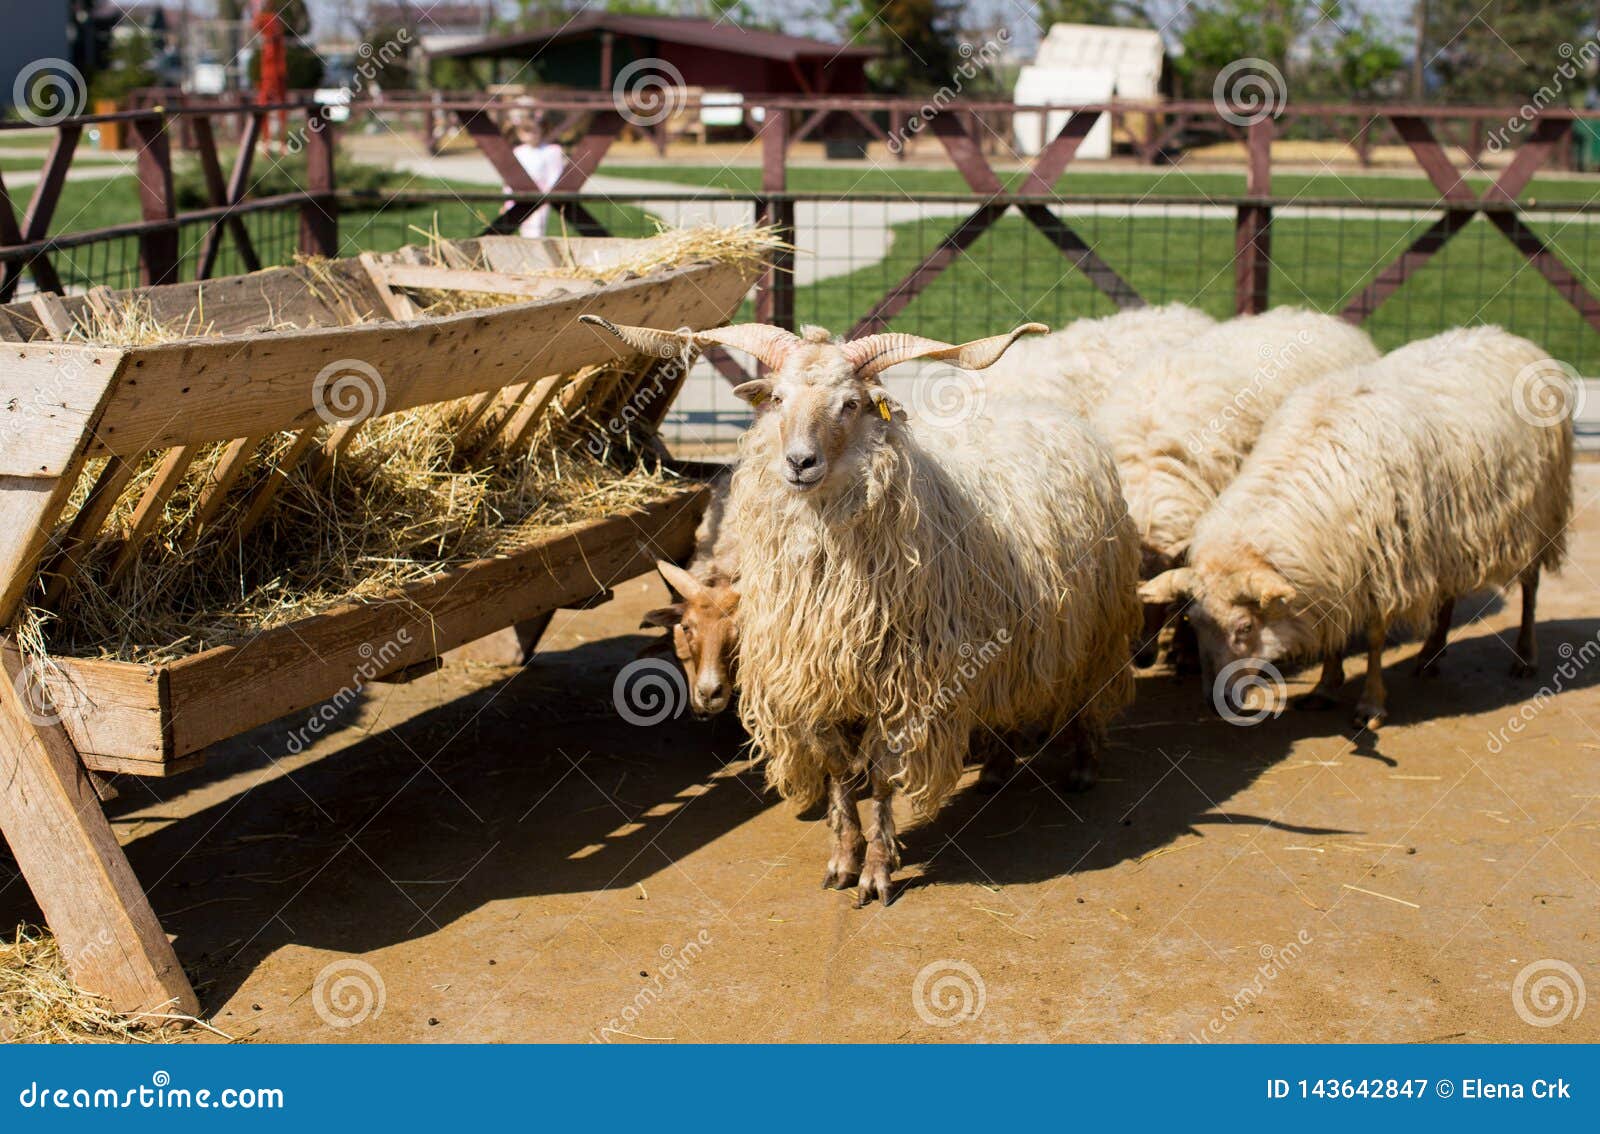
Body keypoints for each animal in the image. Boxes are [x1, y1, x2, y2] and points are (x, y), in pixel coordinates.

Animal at [1139, 326, 1575, 731]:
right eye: (1194, 624)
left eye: (1244, 626)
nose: (1216, 703)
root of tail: (1512, 338)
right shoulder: (1337, 568)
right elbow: (1334, 631)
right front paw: (1324, 688)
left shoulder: (1385, 567)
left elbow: (1376, 639)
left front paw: (1370, 705)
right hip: (1451, 532)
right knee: (1450, 589)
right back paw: (1430, 653)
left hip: (1541, 513)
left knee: (1531, 585)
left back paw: (1526, 655)